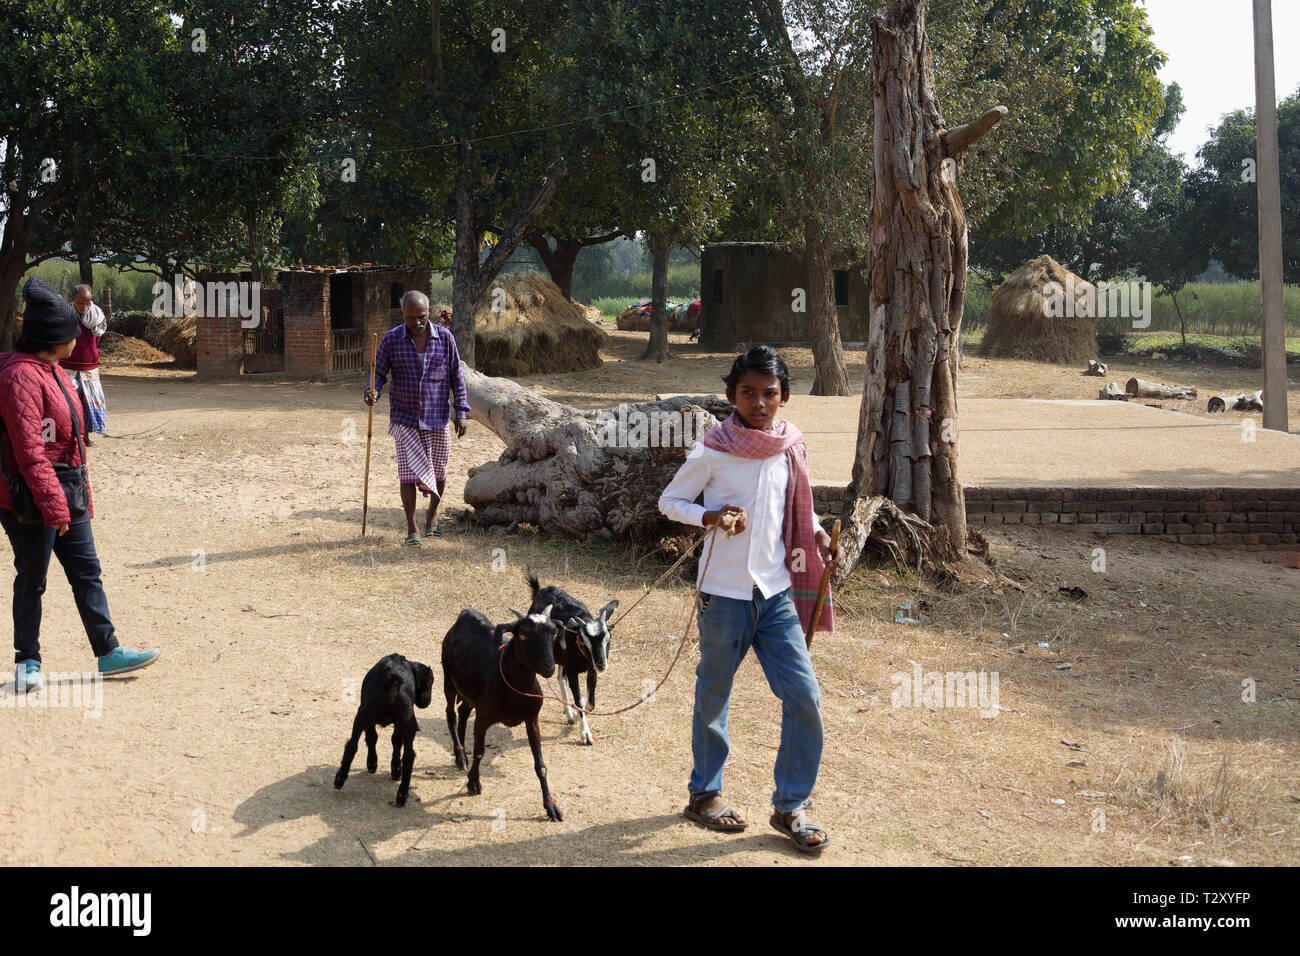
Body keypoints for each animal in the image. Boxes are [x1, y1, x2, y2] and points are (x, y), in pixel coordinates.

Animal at [335, 655, 436, 806]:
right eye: (429, 683)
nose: (427, 702)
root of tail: (393, 681)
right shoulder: (400, 724)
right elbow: (396, 741)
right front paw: (395, 769)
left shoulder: (371, 722)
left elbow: (372, 738)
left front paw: (372, 764)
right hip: (408, 722)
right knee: (408, 757)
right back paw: (402, 795)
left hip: (362, 716)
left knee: (351, 746)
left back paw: (339, 779)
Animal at [441, 606, 564, 822]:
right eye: (523, 635)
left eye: (554, 633)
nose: (548, 666)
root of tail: (465, 614)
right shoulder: (483, 718)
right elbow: (480, 752)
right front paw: (473, 783)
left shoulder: (532, 720)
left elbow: (540, 765)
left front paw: (551, 807)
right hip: (449, 680)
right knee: (451, 714)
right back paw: (460, 755)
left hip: (470, 694)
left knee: (463, 711)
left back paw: (462, 752)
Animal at [525, 572, 616, 743]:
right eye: (584, 640)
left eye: (609, 638)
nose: (601, 664)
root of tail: (540, 591)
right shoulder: (573, 670)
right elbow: (579, 700)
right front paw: (585, 734)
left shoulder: (591, 670)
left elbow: (590, 703)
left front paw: (578, 714)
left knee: (561, 678)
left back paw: (569, 713)